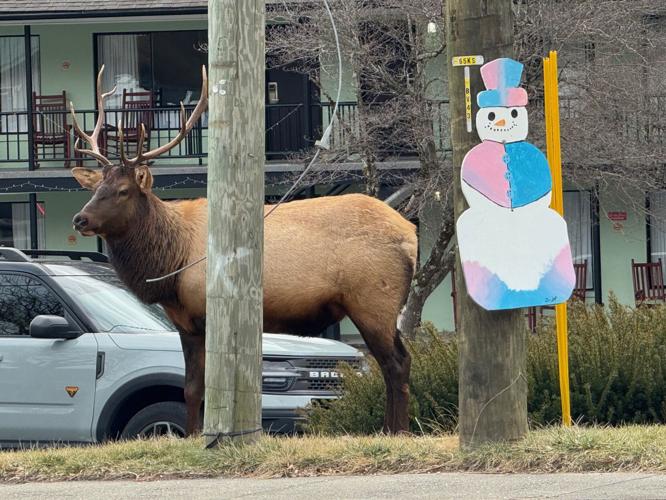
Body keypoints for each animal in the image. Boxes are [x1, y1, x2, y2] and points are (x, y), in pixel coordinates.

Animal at [69, 66, 418, 435]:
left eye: (122, 190)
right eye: (96, 188)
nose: (80, 219)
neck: (171, 264)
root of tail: (411, 233)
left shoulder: (208, 312)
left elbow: (206, 388)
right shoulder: (185, 323)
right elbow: (191, 389)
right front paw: (194, 435)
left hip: (373, 299)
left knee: (395, 362)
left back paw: (396, 430)